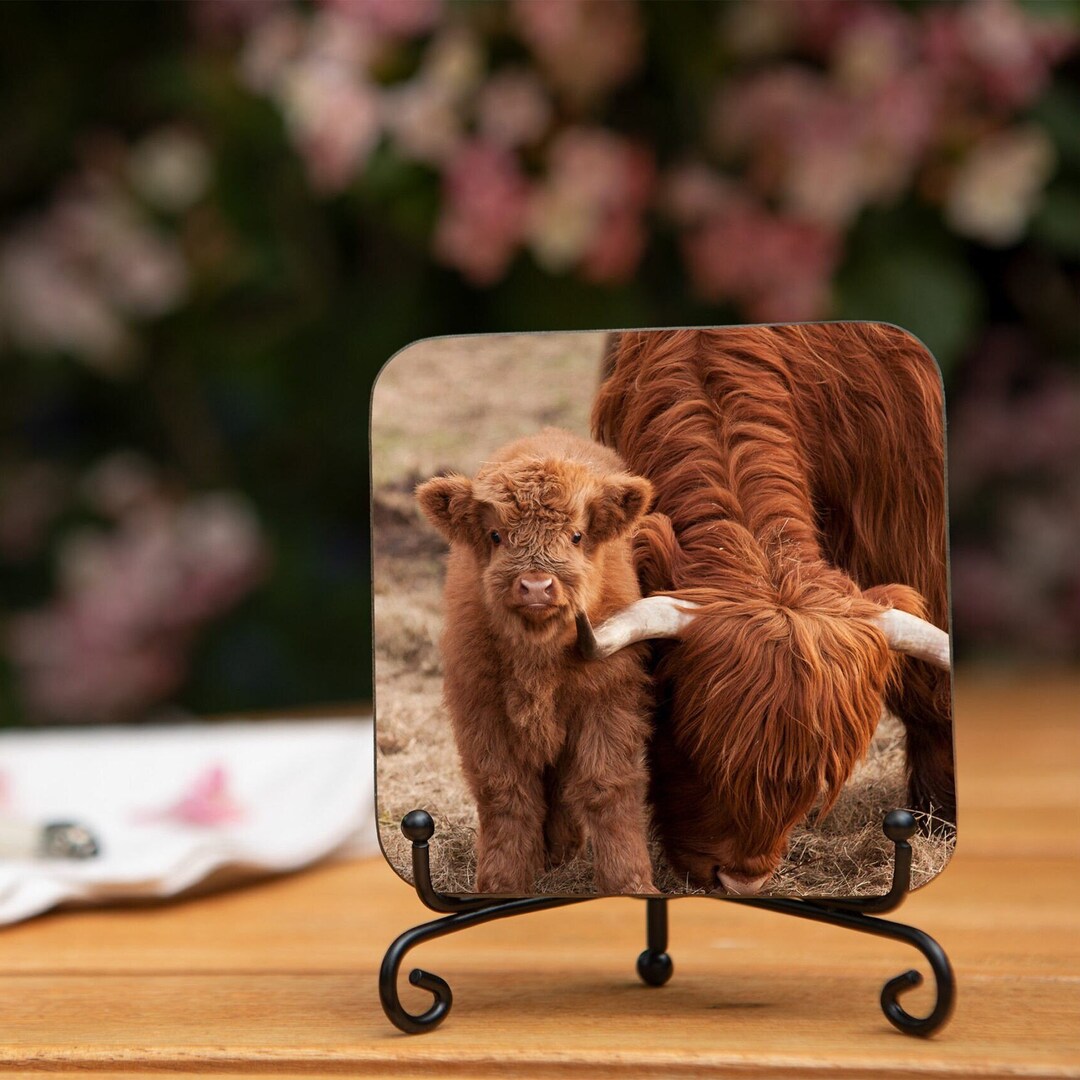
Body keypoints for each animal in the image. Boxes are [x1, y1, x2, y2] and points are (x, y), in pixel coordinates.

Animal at [415, 428, 657, 895]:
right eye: (496, 535)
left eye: (577, 535)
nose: (536, 586)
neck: (537, 659)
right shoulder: (482, 709)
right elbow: (505, 794)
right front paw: (501, 884)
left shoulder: (608, 701)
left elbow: (606, 786)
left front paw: (630, 883)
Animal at [578, 323, 952, 896]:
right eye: (692, 743)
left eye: (817, 774)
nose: (740, 881)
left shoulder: (913, 528)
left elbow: (932, 692)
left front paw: (940, 818)